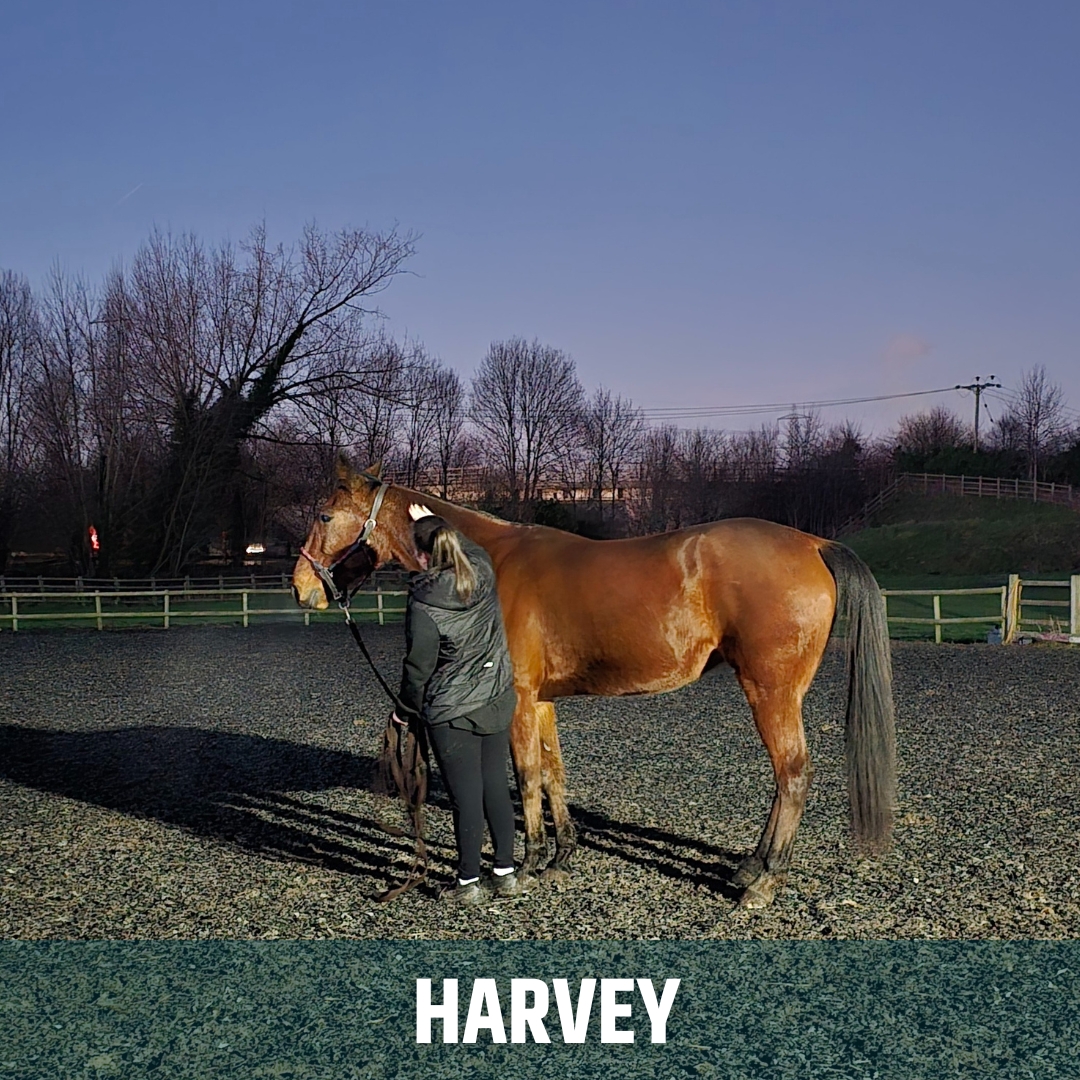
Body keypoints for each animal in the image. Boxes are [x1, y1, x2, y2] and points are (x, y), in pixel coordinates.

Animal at [293, 459, 896, 909]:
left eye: (324, 514)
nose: (302, 589)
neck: (484, 562)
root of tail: (813, 543)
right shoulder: (541, 703)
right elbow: (553, 773)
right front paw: (562, 856)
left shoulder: (516, 702)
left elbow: (526, 777)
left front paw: (526, 866)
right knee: (784, 778)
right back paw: (750, 867)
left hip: (770, 692)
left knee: (792, 774)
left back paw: (765, 881)